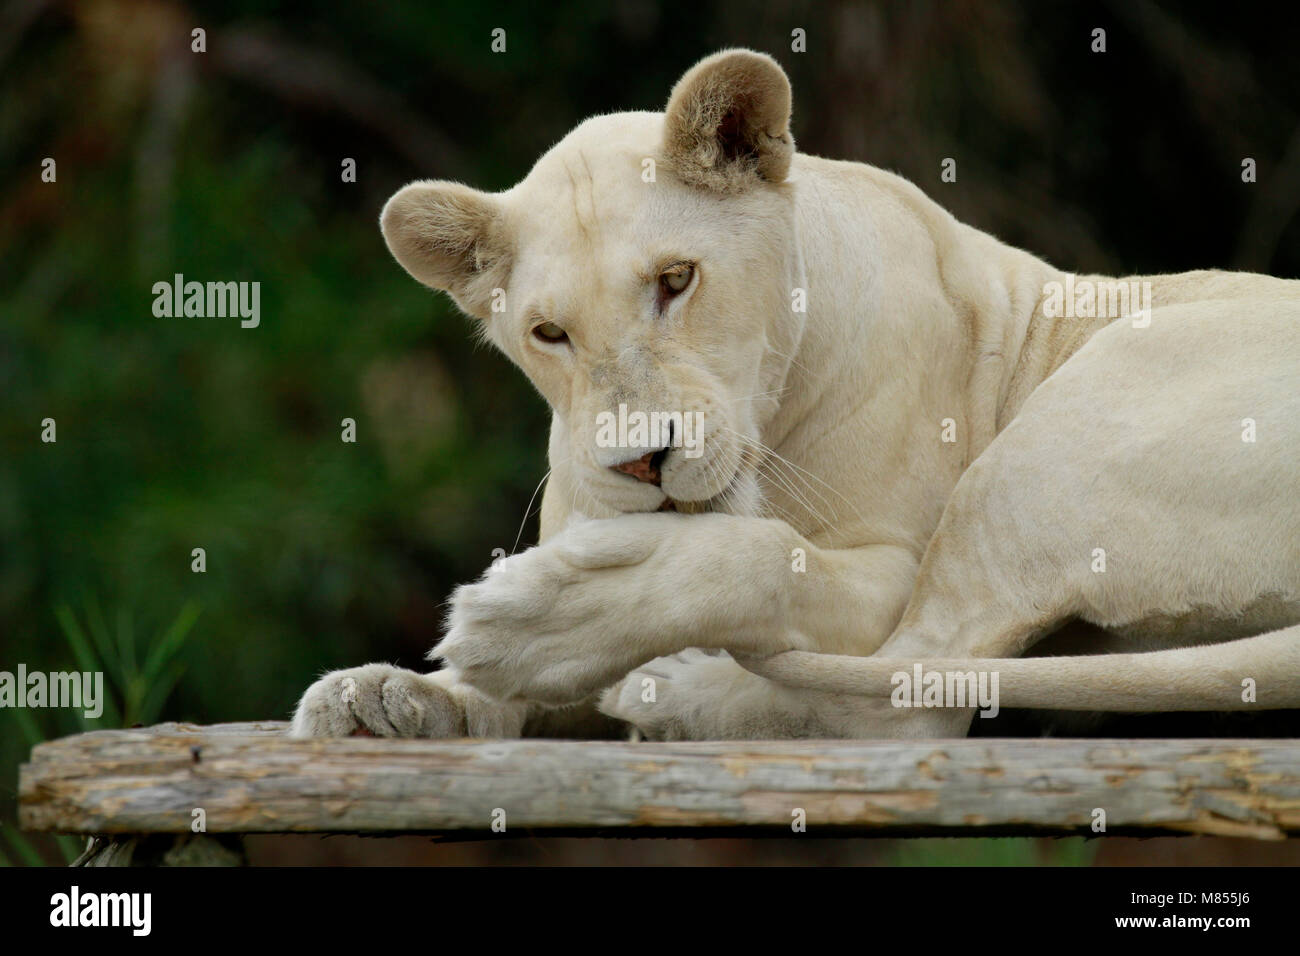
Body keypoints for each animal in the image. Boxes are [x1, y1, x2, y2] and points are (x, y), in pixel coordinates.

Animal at [291, 49, 1300, 742]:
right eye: (549, 334)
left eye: (677, 279)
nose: (642, 461)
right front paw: (393, 696)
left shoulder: (889, 564)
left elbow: (761, 558)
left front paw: (535, 621)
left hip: (1049, 445)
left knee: (914, 695)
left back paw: (671, 694)